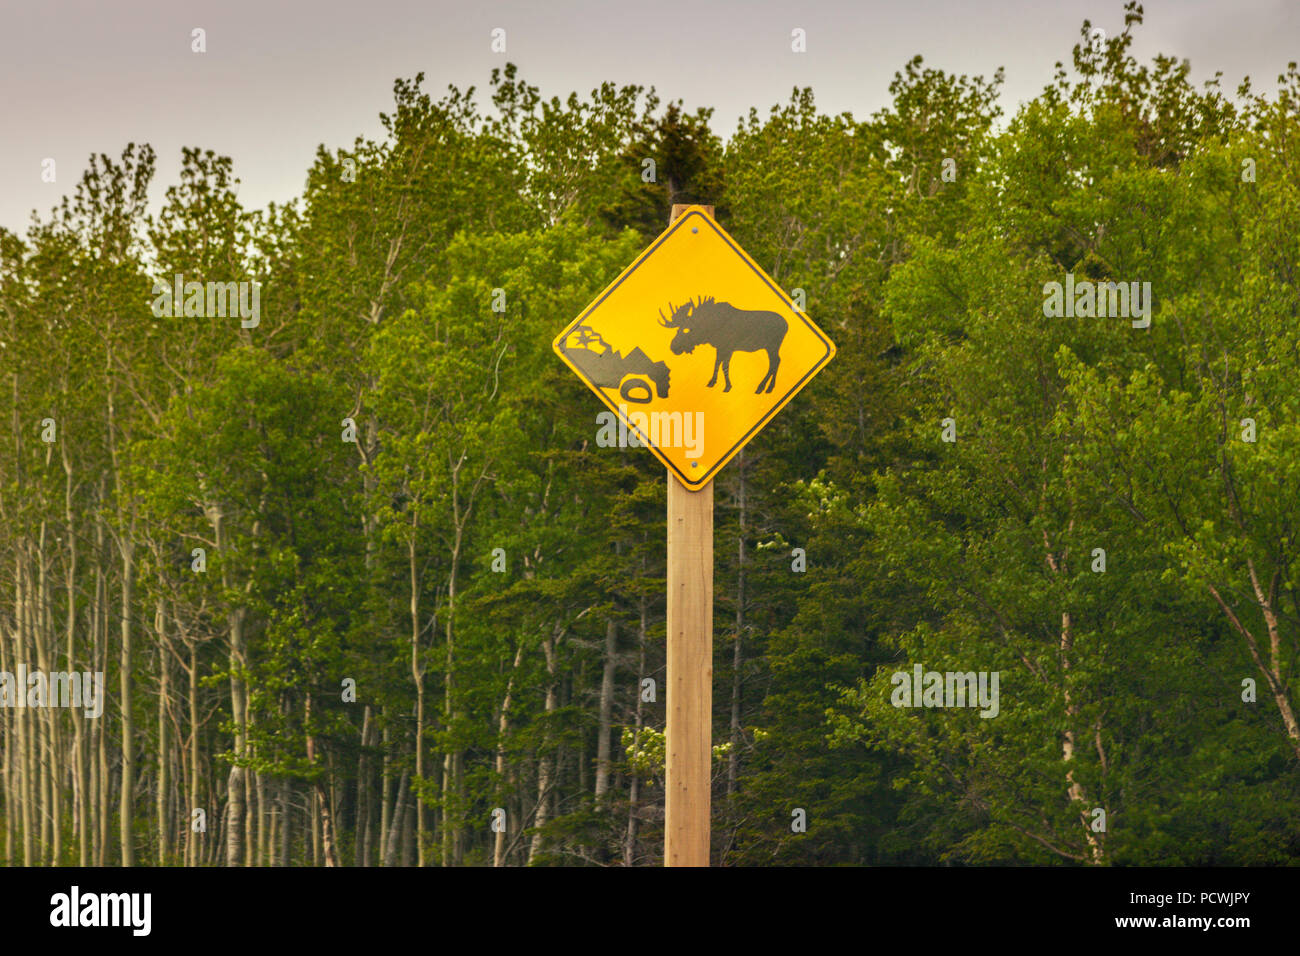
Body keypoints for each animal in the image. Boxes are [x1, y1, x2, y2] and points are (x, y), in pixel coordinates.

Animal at [657, 296, 787, 394]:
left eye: (686, 329)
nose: (673, 346)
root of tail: (787, 326)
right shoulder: (721, 348)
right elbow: (717, 363)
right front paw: (712, 382)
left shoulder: (728, 348)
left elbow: (724, 366)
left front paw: (727, 386)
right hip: (771, 347)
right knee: (776, 361)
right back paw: (767, 388)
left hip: (772, 346)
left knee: (774, 362)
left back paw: (762, 387)